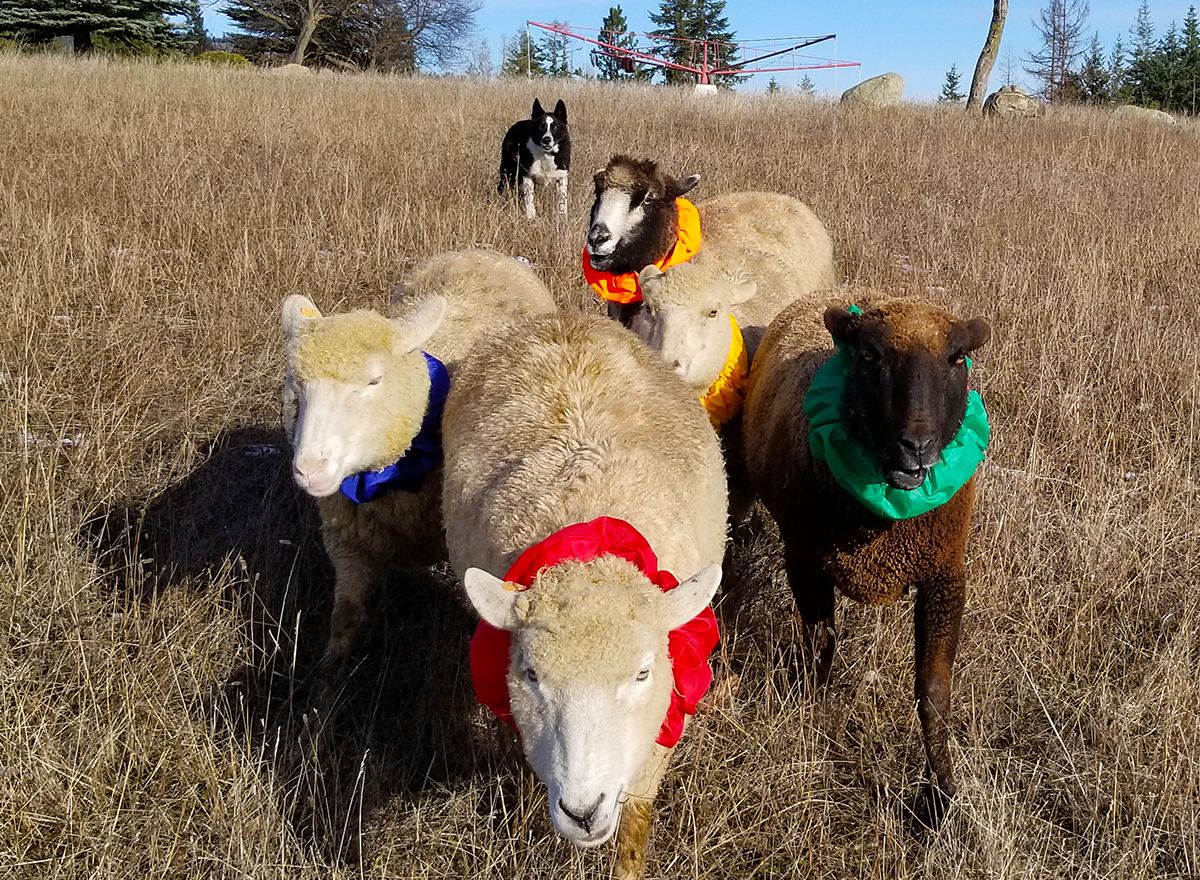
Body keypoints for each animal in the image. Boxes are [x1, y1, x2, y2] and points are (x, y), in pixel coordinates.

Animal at [280, 250, 555, 702]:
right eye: (296, 389)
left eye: (374, 380)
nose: (309, 470)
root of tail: (479, 250)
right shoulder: (348, 543)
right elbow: (345, 619)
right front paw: (324, 697)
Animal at [441, 312, 727, 880]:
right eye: (530, 675)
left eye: (643, 673)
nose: (582, 811)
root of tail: (564, 319)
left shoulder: (658, 730)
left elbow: (635, 825)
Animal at [741, 292, 991, 821]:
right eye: (871, 357)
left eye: (957, 357)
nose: (916, 445)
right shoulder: (805, 560)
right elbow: (820, 648)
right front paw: (812, 721)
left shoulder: (946, 574)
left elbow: (934, 693)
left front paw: (941, 798)